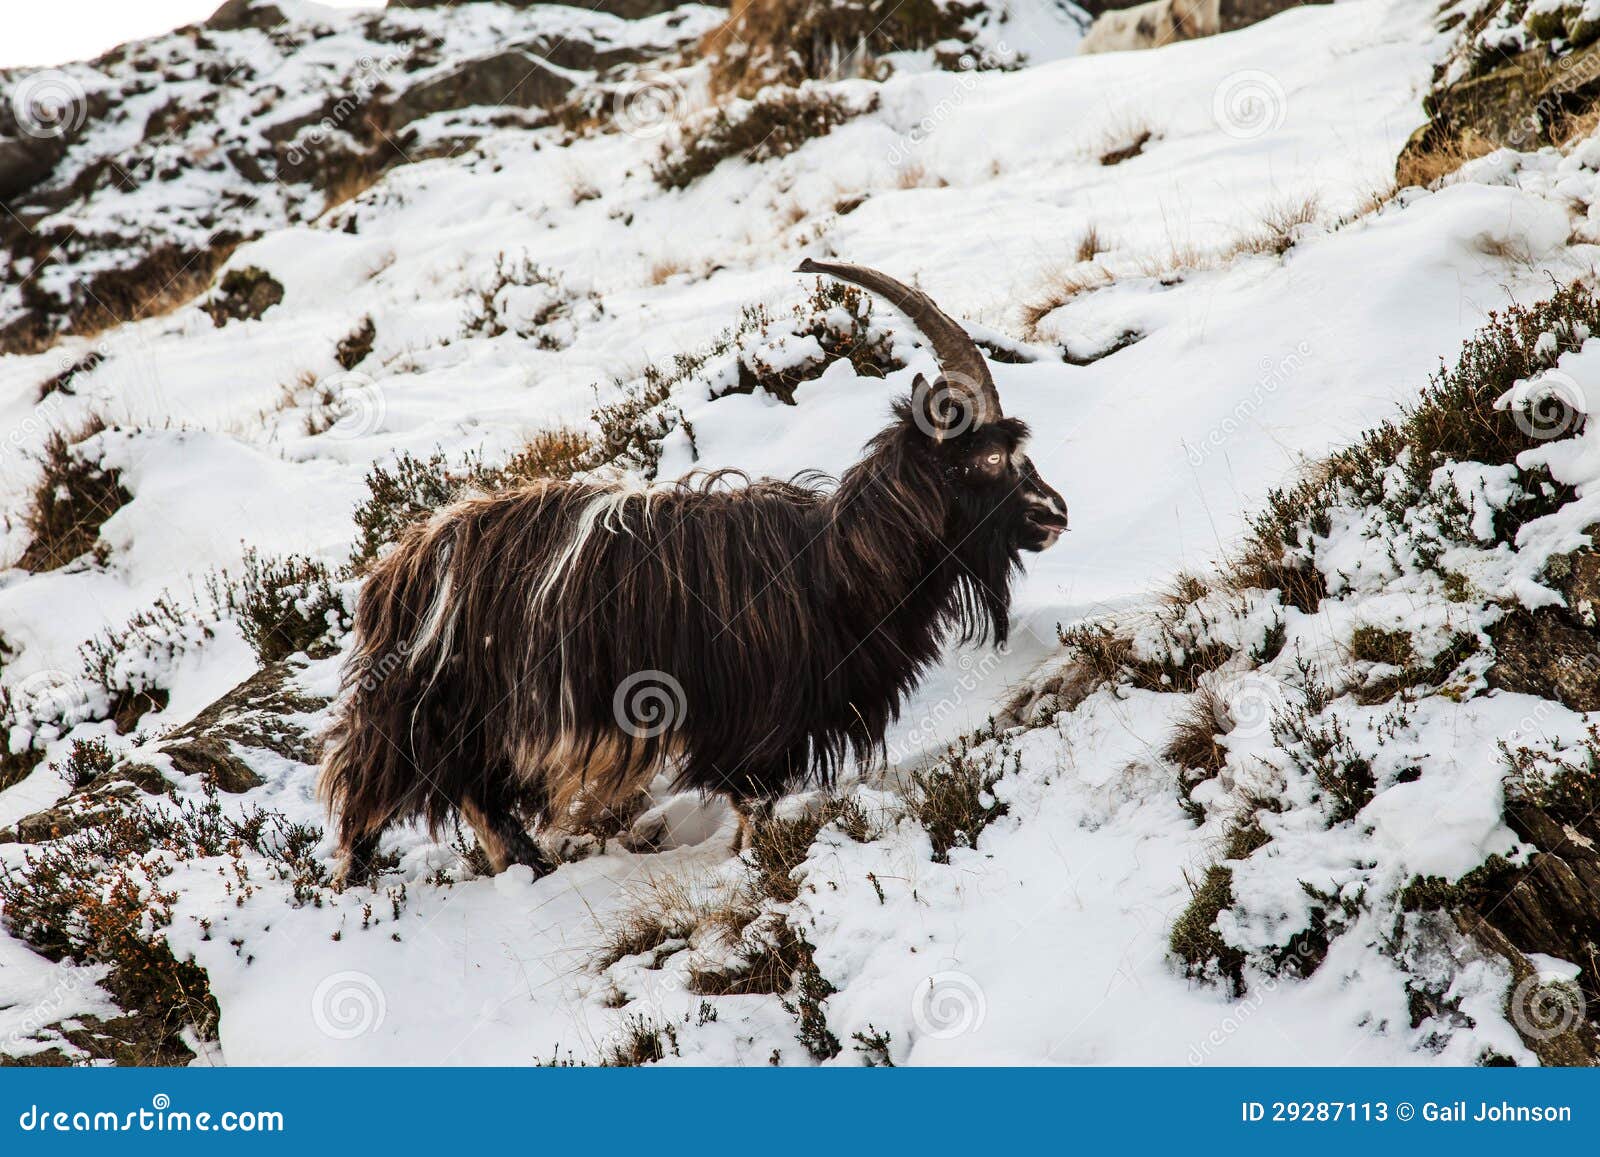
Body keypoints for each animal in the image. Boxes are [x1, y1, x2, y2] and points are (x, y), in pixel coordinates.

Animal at [320, 260, 1069, 880]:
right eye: (990, 459)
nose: (1056, 512)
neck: (833, 567)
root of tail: (396, 571)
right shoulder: (751, 719)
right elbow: (753, 802)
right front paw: (754, 863)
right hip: (422, 715)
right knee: (371, 803)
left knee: (479, 797)